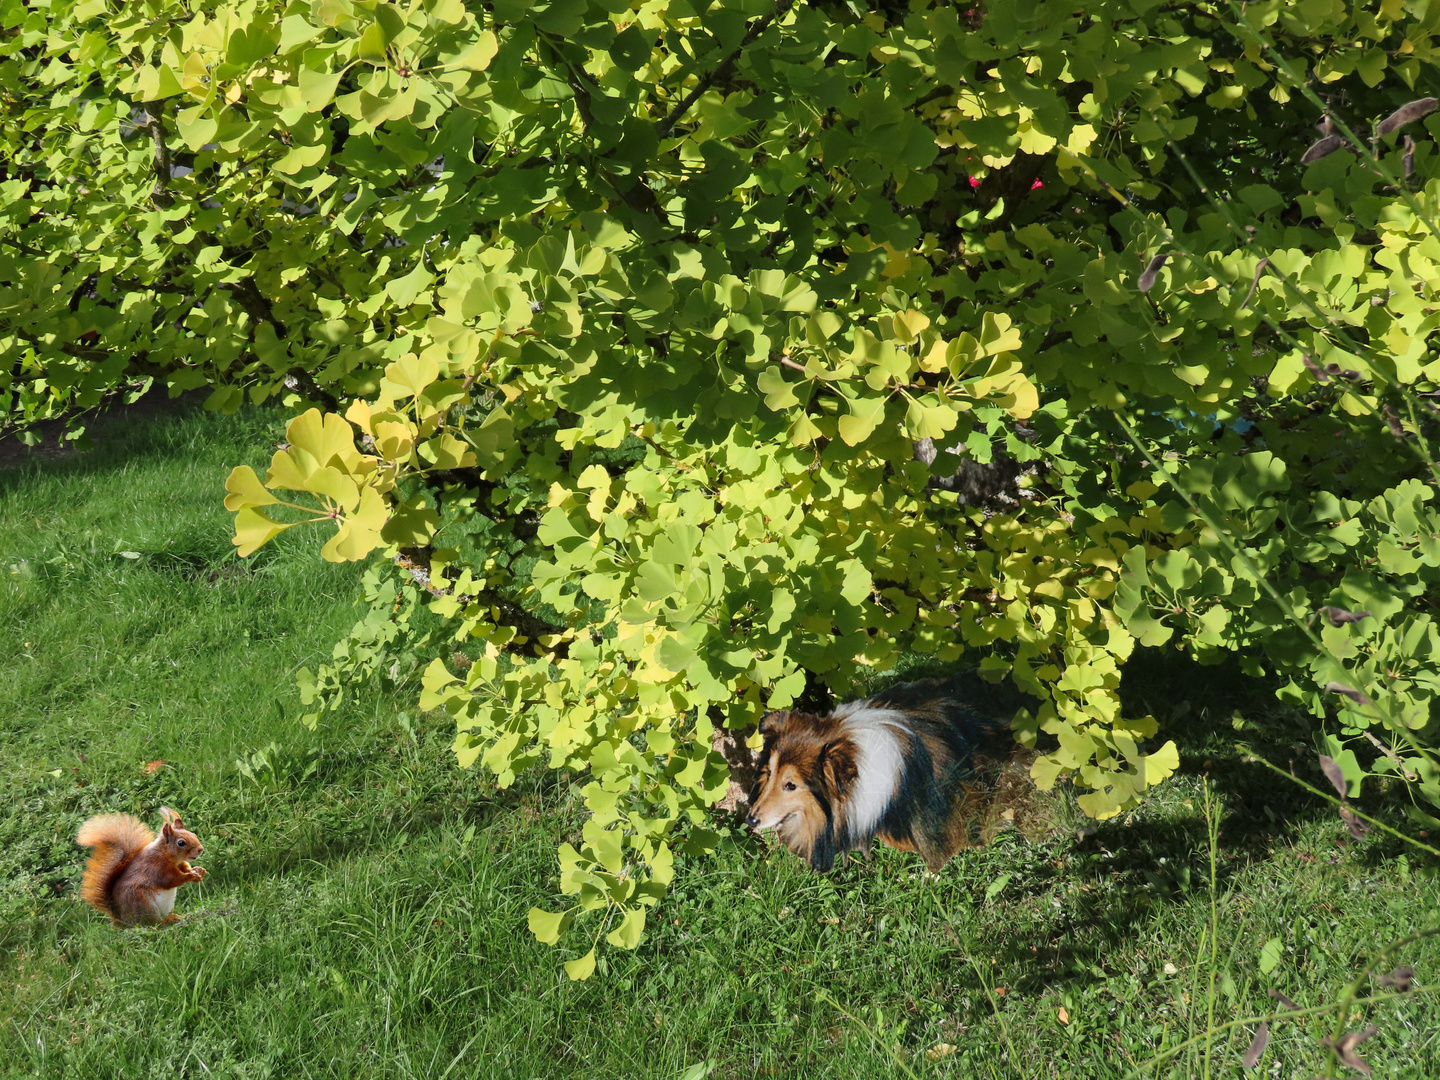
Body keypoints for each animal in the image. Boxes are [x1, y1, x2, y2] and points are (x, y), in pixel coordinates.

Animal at [76, 806, 207, 927]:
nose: (200, 849)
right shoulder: (157, 867)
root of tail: (124, 922)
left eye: (193, 834)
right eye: (181, 843)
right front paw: (191, 876)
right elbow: (172, 880)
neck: (166, 855)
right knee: (153, 924)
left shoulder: (179, 864)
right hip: (143, 903)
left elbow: (185, 868)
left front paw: (199, 871)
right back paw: (168, 920)